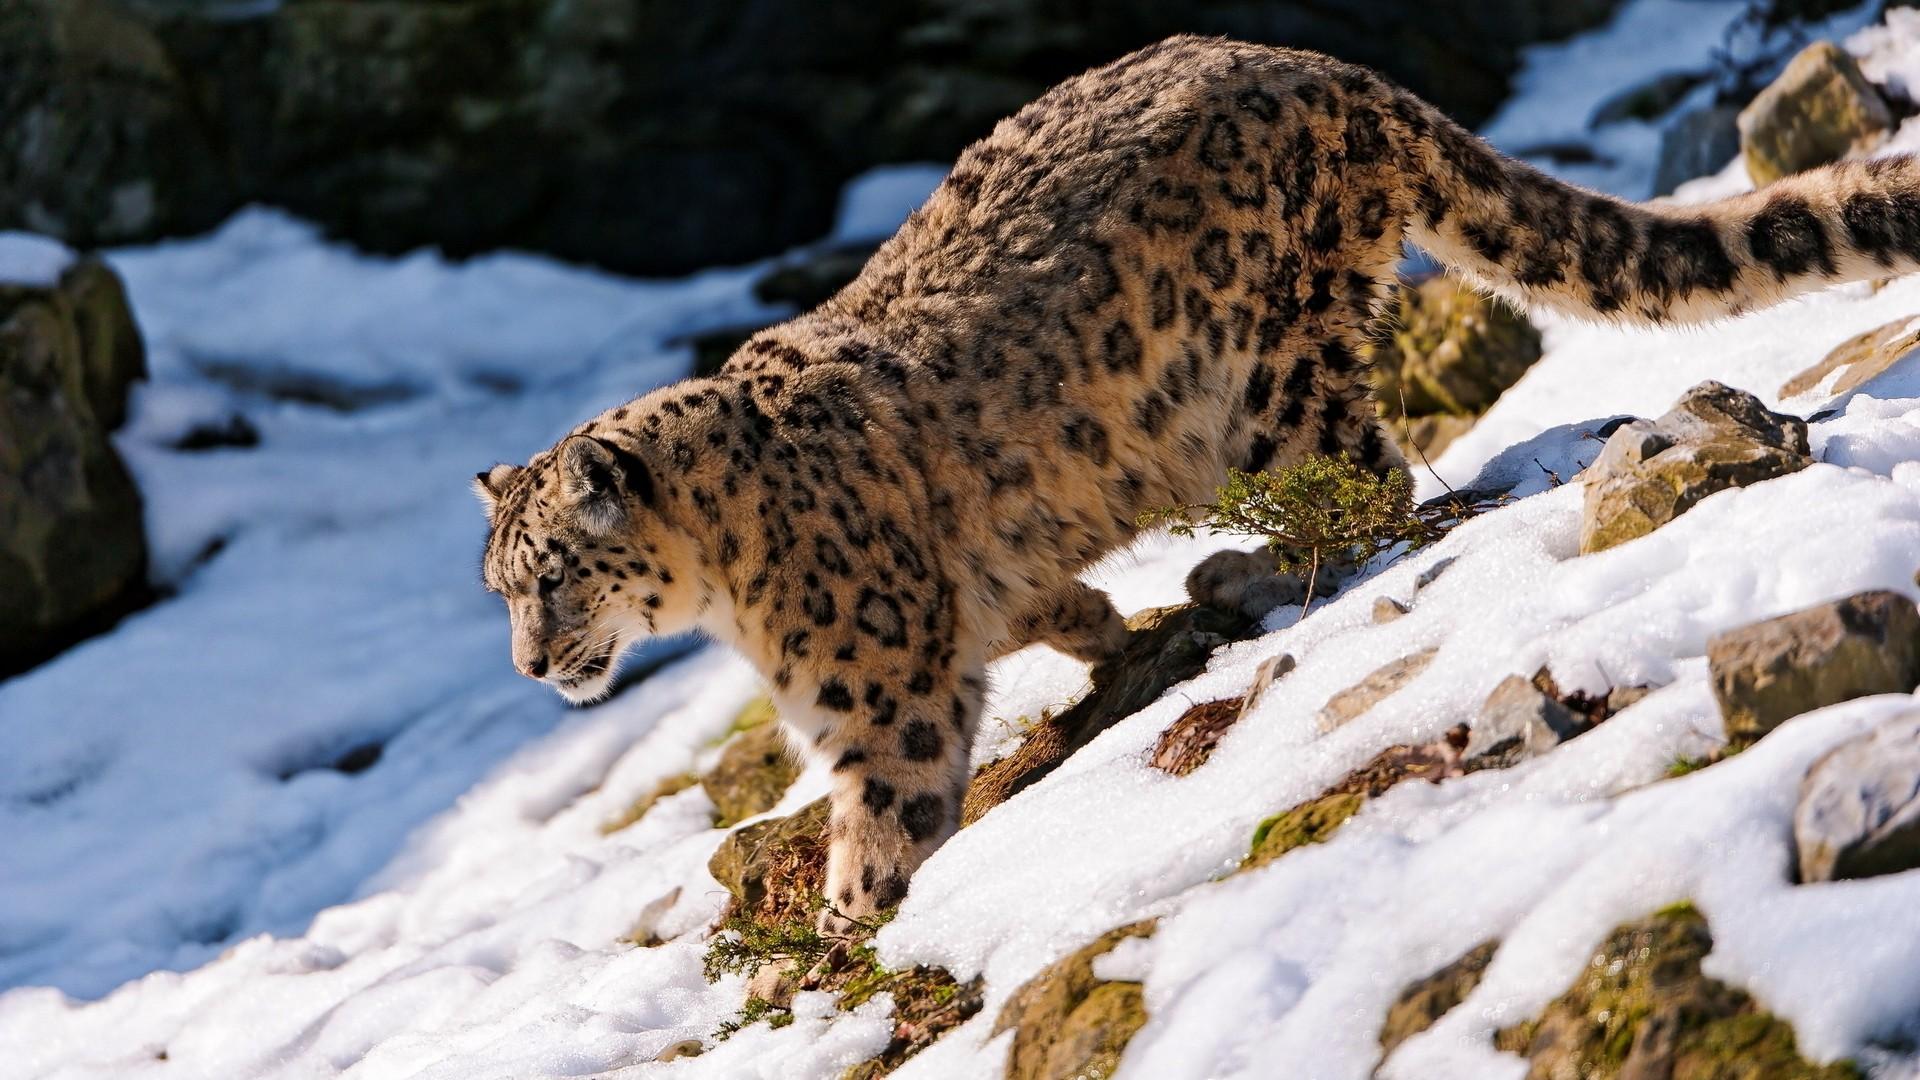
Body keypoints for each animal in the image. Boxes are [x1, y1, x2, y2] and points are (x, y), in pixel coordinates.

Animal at [475, 34, 1920, 932]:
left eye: (555, 577)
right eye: (500, 590)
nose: (532, 668)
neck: (726, 585)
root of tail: (1321, 67)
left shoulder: (877, 694)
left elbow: (886, 810)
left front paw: (853, 925)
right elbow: (1034, 600)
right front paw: (1094, 626)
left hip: (1271, 376)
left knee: (1369, 483)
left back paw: (1245, 567)